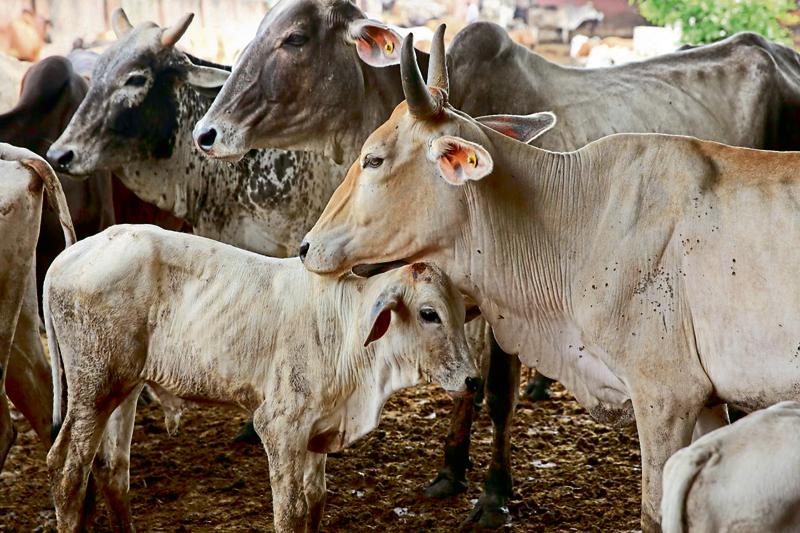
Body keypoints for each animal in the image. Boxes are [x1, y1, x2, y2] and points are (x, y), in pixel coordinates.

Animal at [44, 224, 481, 532]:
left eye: (463, 313)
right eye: (429, 313)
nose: (473, 381)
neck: (347, 328)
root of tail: (68, 256)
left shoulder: (319, 430)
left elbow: (316, 499)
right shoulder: (279, 425)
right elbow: (291, 511)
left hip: (125, 389)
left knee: (112, 471)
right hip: (92, 389)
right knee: (67, 474)